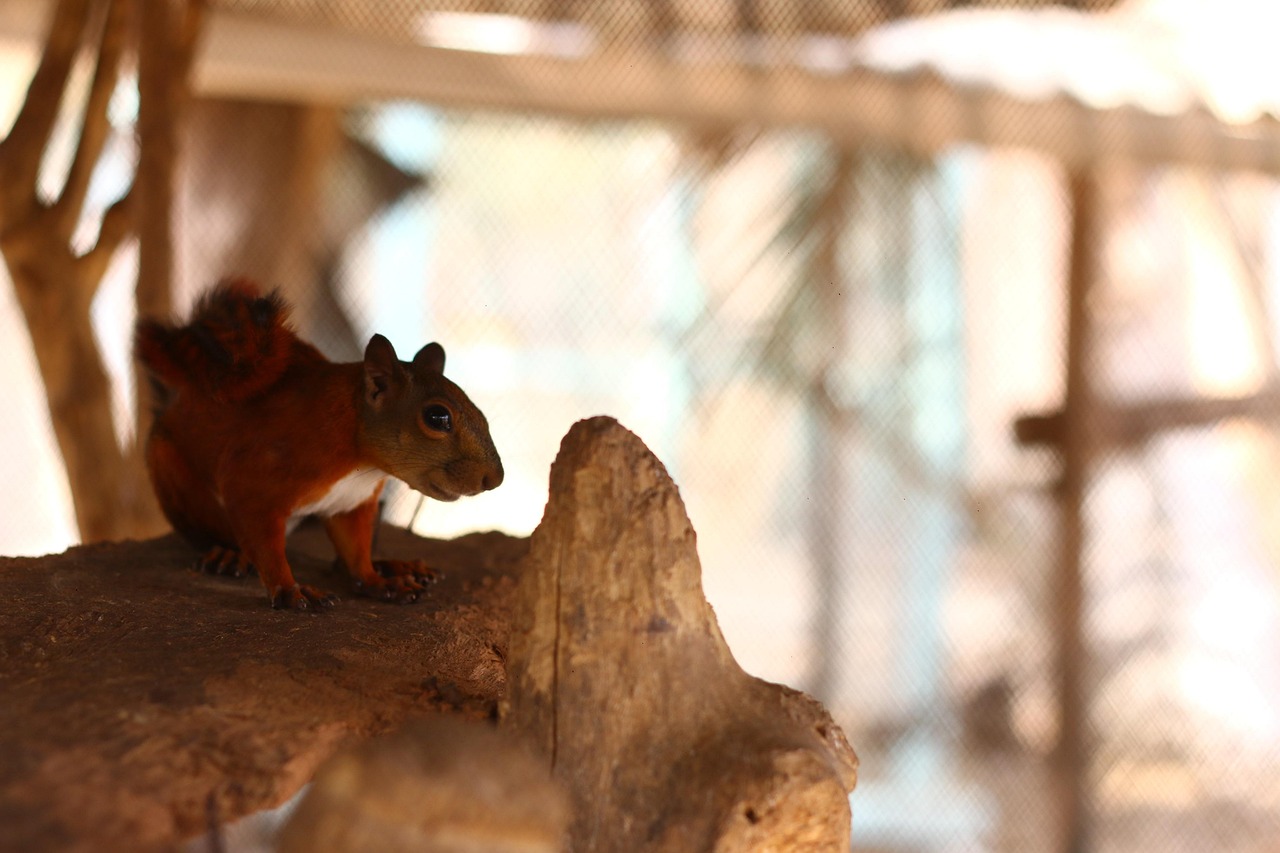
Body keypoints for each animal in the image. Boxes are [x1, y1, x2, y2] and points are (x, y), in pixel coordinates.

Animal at [135, 278, 504, 610]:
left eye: (482, 413)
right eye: (437, 417)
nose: (495, 479)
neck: (362, 460)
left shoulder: (353, 505)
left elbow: (356, 554)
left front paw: (378, 581)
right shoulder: (254, 482)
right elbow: (266, 545)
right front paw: (290, 590)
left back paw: (395, 566)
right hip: (177, 484)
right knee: (210, 535)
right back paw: (227, 553)